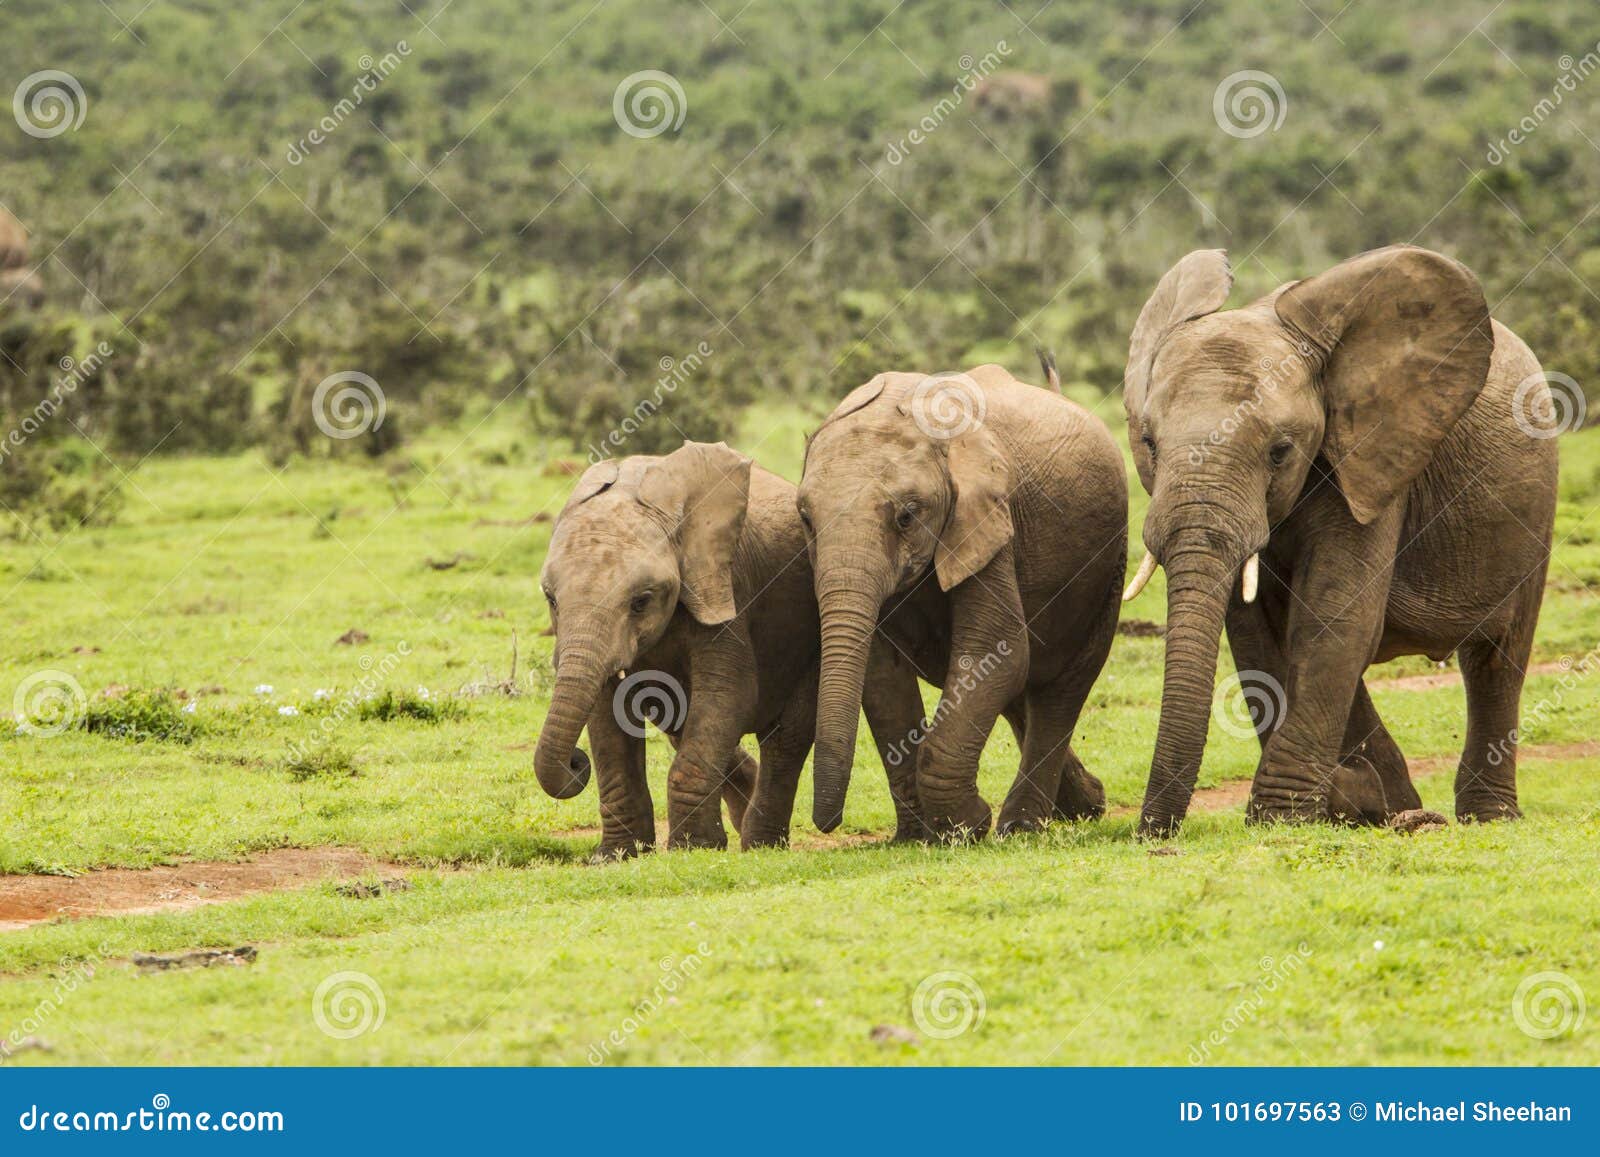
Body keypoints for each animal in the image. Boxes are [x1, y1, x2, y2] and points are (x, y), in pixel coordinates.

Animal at [534, 440, 919, 857]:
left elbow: (728, 693)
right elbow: (608, 713)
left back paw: (760, 843)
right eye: (551, 599)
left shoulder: (726, 583)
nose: (575, 763)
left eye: (641, 601)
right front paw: (616, 855)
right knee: (680, 723)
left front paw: (692, 848)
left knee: (785, 737)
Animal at [798, 363, 1128, 840]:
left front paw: (966, 826)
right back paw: (1085, 806)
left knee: (1063, 686)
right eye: (805, 518)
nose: (828, 823)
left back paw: (1023, 825)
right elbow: (882, 674)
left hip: (1110, 565)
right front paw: (918, 837)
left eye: (906, 516)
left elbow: (996, 651)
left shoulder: (989, 520)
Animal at [1122, 245, 1558, 837]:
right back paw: (1397, 806)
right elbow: (1258, 630)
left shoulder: (1376, 459)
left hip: (1535, 504)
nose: (1152, 832)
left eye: (1280, 451)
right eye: (1148, 442)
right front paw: (1351, 802)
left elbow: (1334, 617)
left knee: (1498, 656)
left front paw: (1283, 818)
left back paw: (1483, 817)